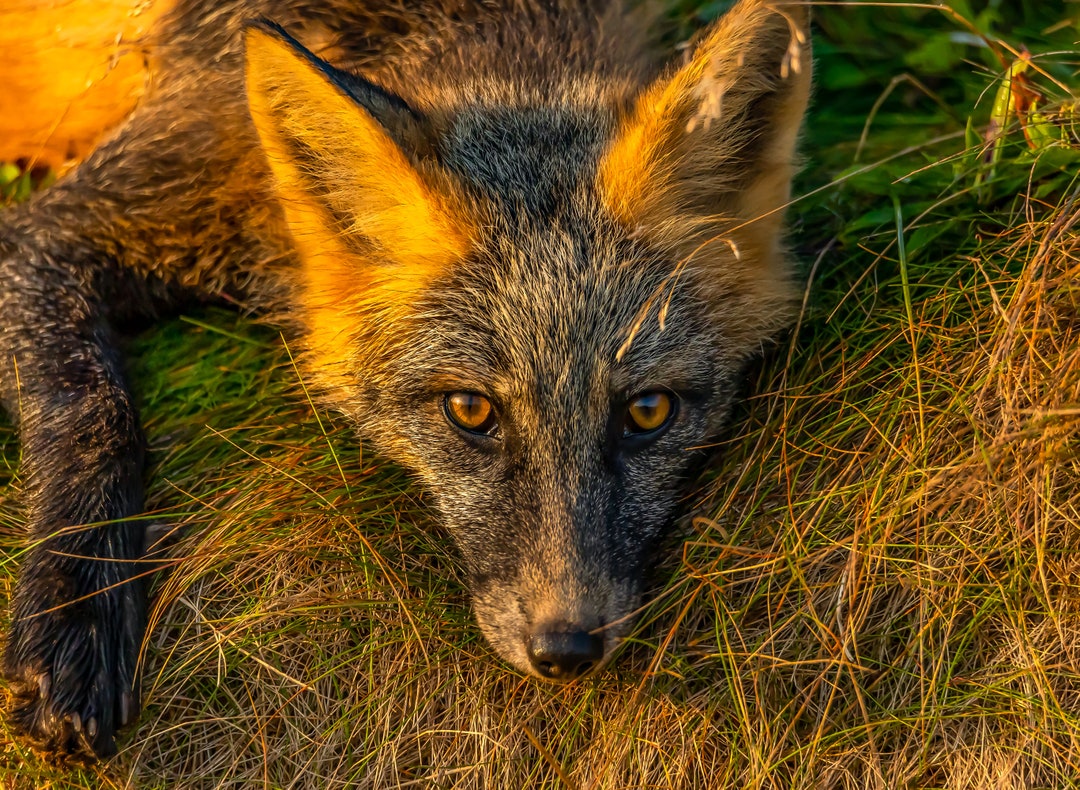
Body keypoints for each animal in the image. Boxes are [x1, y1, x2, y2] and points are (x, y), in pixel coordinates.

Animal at [0, 0, 810, 762]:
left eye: (647, 411)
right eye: (470, 410)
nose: (566, 651)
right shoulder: (52, 232)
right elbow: (94, 414)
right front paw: (74, 610)